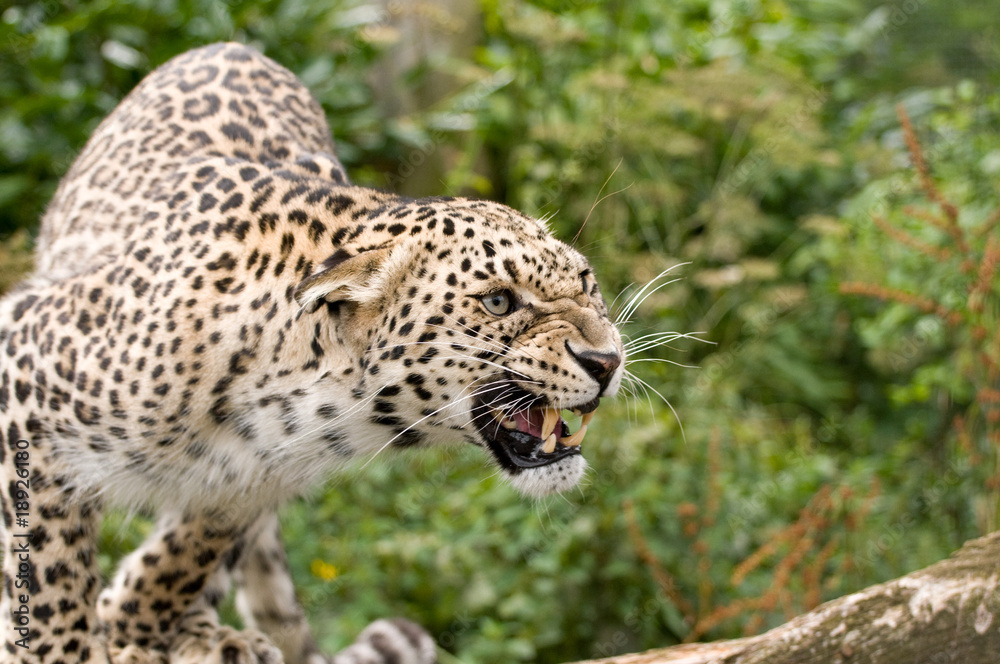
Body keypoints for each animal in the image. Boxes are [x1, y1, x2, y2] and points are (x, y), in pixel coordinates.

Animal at [0, 42, 624, 664]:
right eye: (498, 301)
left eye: (587, 283)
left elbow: (191, 550)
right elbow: (47, 576)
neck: (302, 405)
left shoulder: (254, 481)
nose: (607, 362)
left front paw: (132, 626)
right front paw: (65, 648)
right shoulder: (24, 380)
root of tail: (236, 44)